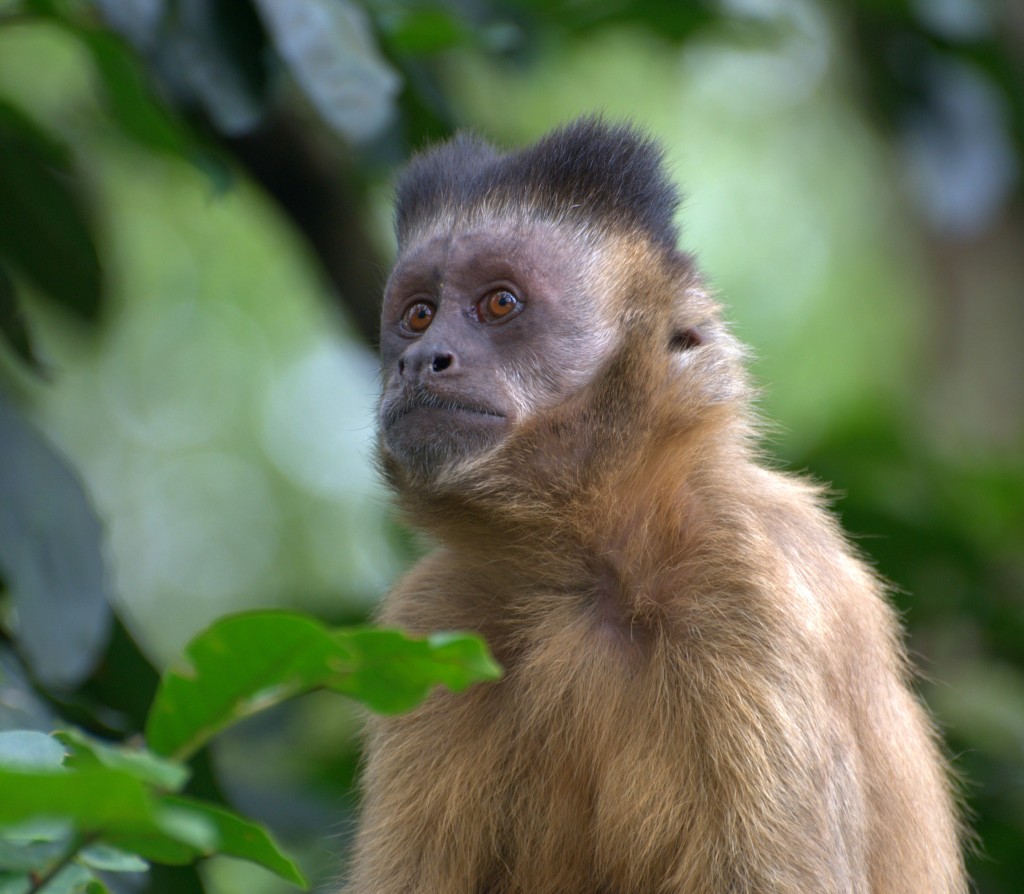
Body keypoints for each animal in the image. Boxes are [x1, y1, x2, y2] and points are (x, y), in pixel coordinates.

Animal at [344, 118, 966, 893]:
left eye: (499, 304)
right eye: (418, 315)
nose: (420, 359)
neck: (596, 565)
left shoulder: (752, 591)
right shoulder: (434, 616)